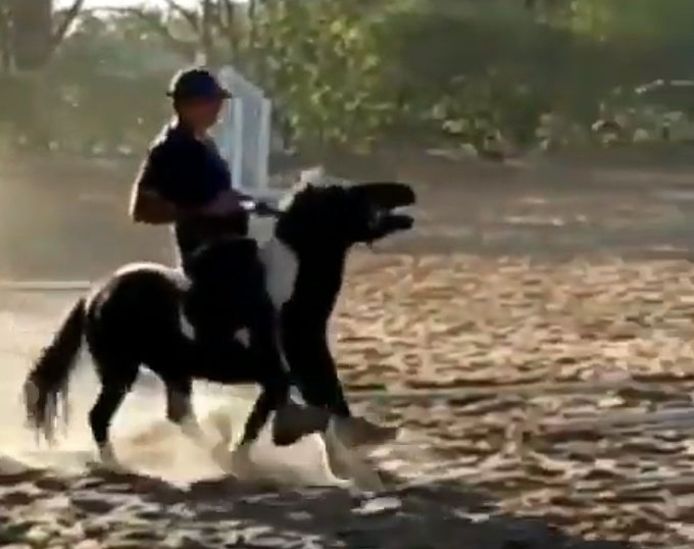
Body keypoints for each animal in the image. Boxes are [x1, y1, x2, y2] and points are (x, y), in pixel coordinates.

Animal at [23, 181, 416, 478]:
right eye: (347, 197)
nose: (406, 192)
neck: (288, 300)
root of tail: (96, 294)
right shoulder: (280, 374)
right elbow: (281, 416)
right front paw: (246, 458)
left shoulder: (307, 363)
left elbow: (329, 404)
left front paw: (348, 460)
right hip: (121, 370)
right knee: (100, 416)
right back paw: (119, 465)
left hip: (171, 369)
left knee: (178, 414)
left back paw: (211, 449)